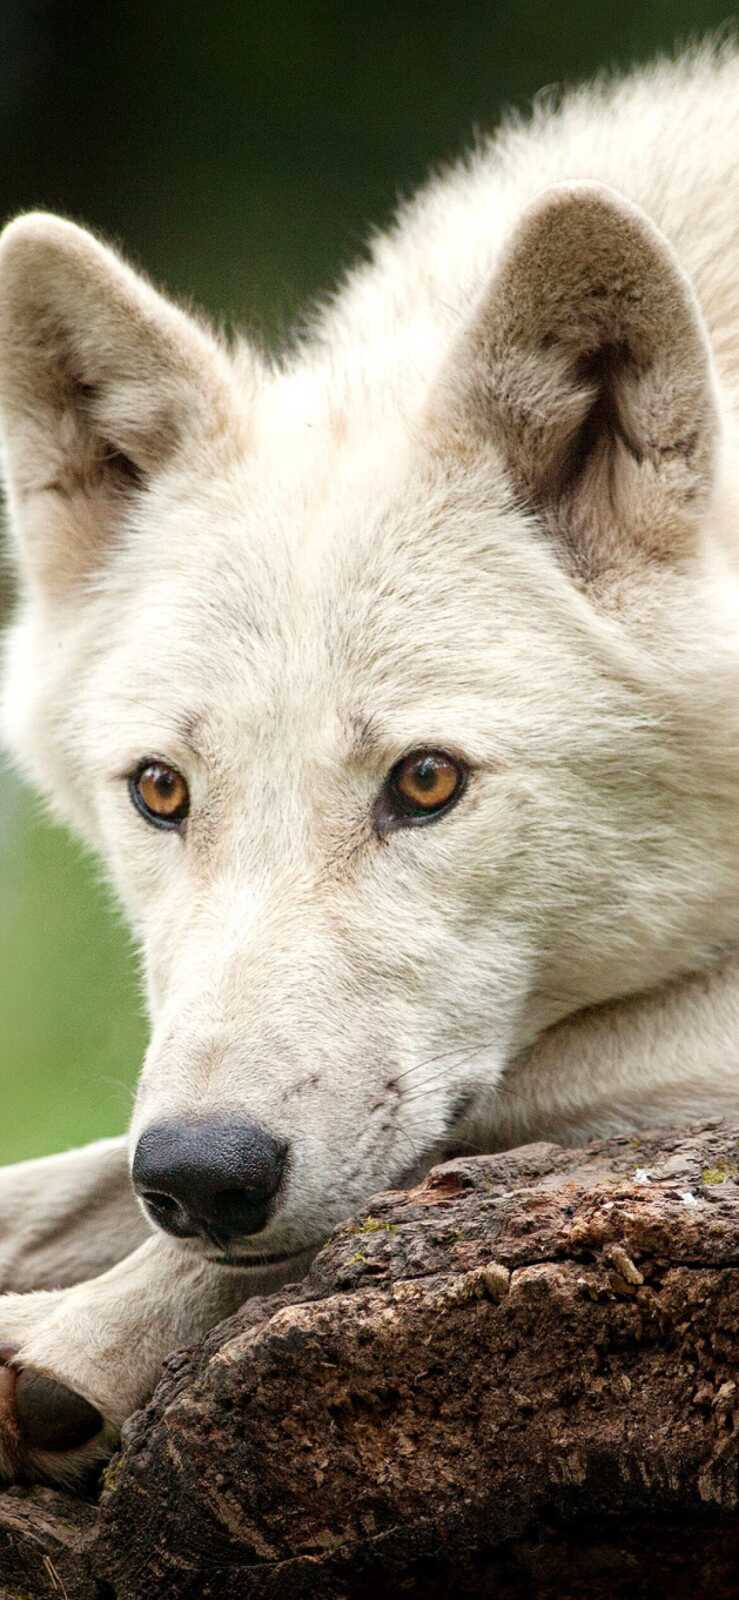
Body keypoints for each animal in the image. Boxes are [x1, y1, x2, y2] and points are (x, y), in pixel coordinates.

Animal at [0, 42, 738, 1487]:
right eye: (160, 790)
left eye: (426, 783)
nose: (202, 1175)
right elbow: (75, 1169)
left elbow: (508, 1094)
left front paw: (74, 1339)